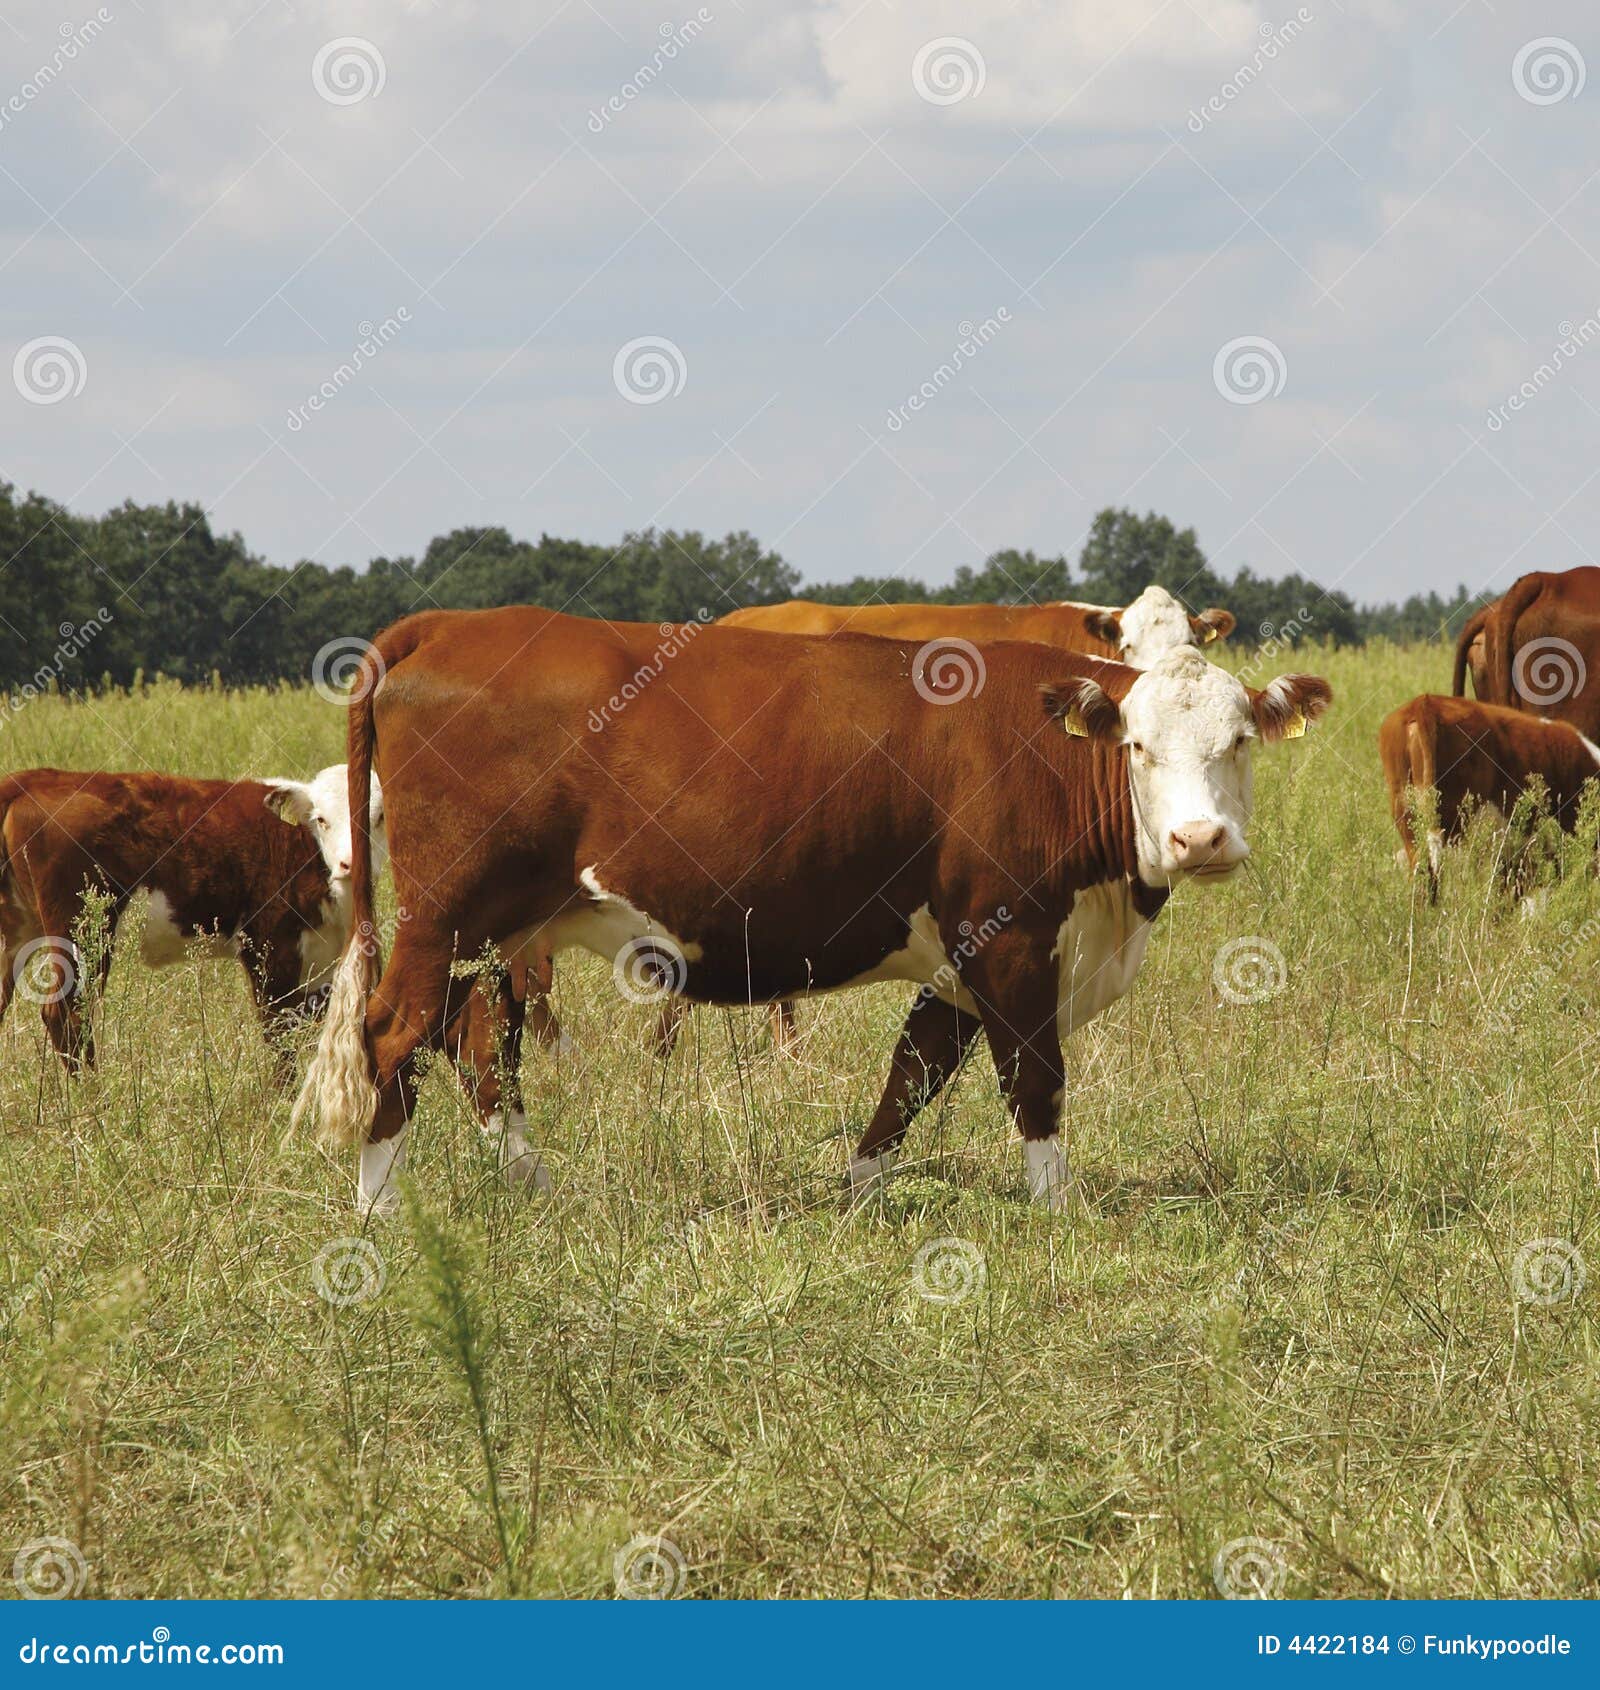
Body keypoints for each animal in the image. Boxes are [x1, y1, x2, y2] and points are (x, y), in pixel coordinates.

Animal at [0, 764, 384, 1078]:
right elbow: (280, 1037)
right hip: (82, 932)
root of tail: (33, 779)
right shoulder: (269, 949)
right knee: (67, 1016)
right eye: (321, 819)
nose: (352, 864)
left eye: (378, 817)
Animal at [291, 608, 1329, 1218]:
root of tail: (454, 621)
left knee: (476, 1043)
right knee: (395, 1033)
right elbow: (1034, 1082)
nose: (1200, 839)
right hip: (447, 913)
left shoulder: (960, 957)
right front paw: (1057, 1213)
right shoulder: (1013, 937)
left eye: (1241, 740)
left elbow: (912, 1075)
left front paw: (858, 1194)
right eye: (1140, 747)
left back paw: (531, 1181)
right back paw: (379, 1214)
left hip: (506, 929)